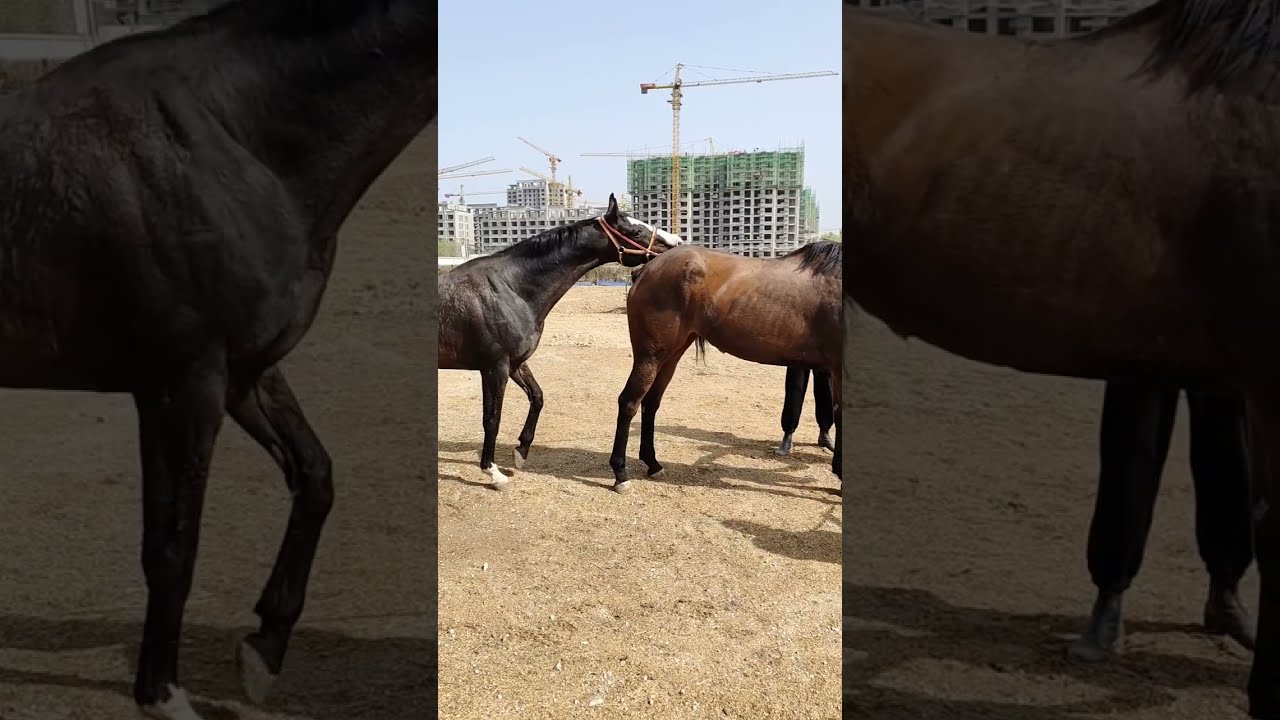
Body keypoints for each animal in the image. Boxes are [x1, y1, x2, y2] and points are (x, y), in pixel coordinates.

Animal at [0, 1, 434, 717]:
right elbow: (173, 542)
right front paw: (162, 693)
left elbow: (314, 476)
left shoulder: (243, 372)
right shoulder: (181, 382)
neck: (233, 135)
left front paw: (265, 647)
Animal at [438, 194, 681, 490]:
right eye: (635, 231)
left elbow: (537, 397)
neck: (509, 288)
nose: (677, 242)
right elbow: (492, 418)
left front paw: (521, 452)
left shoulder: (516, 363)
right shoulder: (495, 367)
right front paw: (493, 472)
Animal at [608, 241, 842, 492]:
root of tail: (647, 269)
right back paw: (621, 474)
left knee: (650, 403)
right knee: (629, 403)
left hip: (671, 354)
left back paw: (652, 464)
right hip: (650, 356)